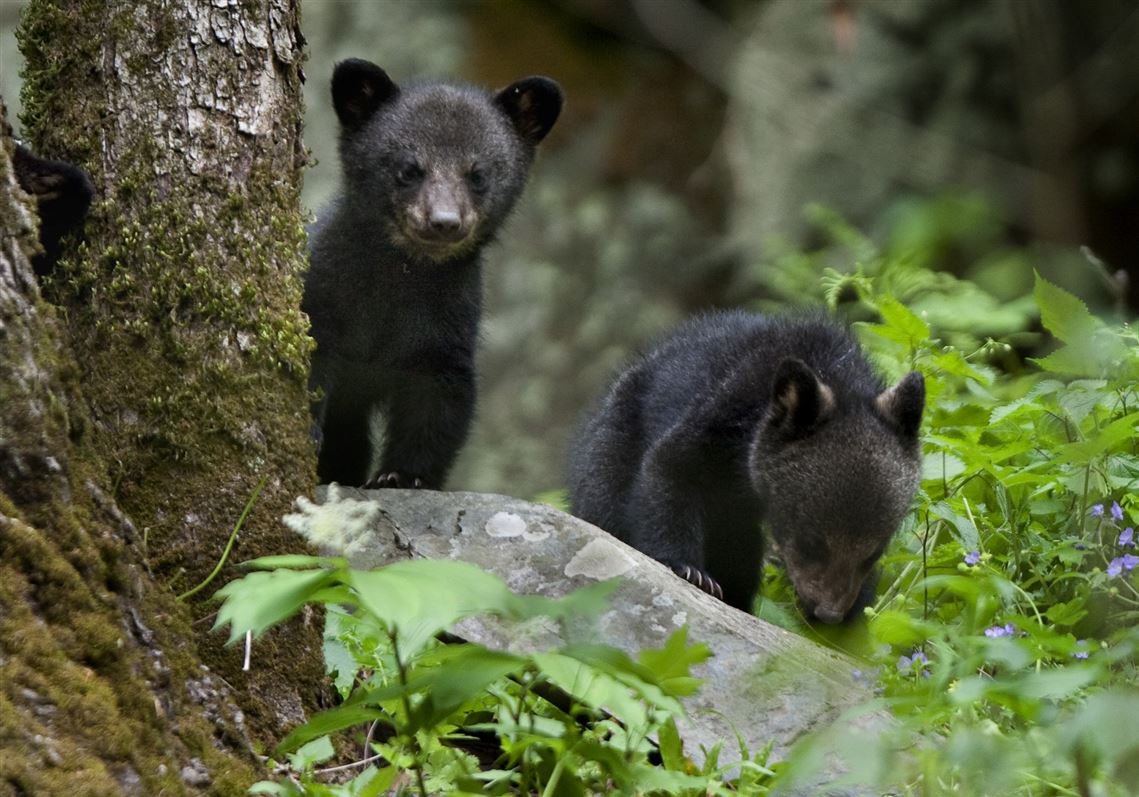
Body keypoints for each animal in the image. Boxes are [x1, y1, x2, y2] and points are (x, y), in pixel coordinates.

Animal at [303, 59, 562, 488]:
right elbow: (312, 357)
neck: (405, 274)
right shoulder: (325, 289)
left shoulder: (447, 320)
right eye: (409, 168)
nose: (444, 222)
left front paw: (401, 475)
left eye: (478, 173)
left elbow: (441, 398)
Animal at [568, 309, 924, 623]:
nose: (828, 613)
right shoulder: (721, 419)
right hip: (619, 430)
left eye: (873, 553)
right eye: (811, 543)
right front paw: (691, 570)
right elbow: (672, 469)